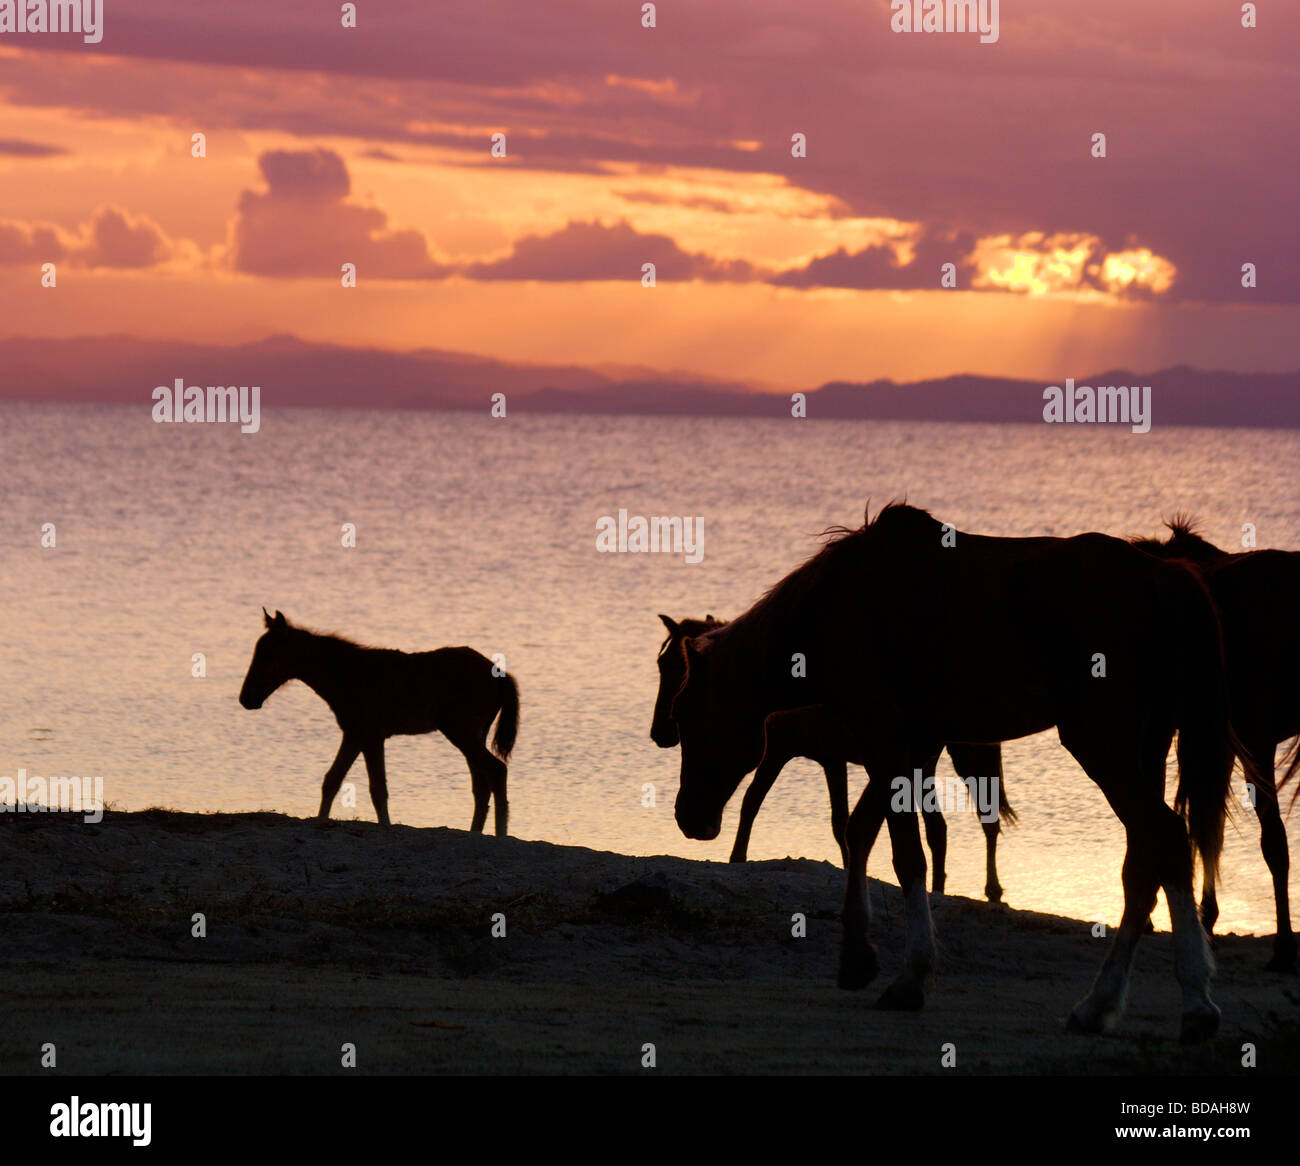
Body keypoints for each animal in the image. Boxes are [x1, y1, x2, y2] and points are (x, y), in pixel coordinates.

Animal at [238, 609, 519, 834]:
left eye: (268, 655)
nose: (246, 698)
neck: (349, 673)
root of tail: (498, 673)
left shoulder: (371, 736)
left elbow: (377, 789)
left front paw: (385, 826)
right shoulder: (353, 735)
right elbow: (332, 780)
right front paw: (321, 820)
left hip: (461, 732)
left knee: (496, 771)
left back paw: (500, 835)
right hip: (473, 735)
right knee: (481, 786)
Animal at [653, 614, 1016, 897]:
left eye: (676, 667)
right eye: (661, 663)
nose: (660, 733)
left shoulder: (819, 757)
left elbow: (829, 819)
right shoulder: (791, 755)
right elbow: (755, 803)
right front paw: (738, 858)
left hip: (963, 755)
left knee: (985, 818)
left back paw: (992, 889)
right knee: (940, 829)